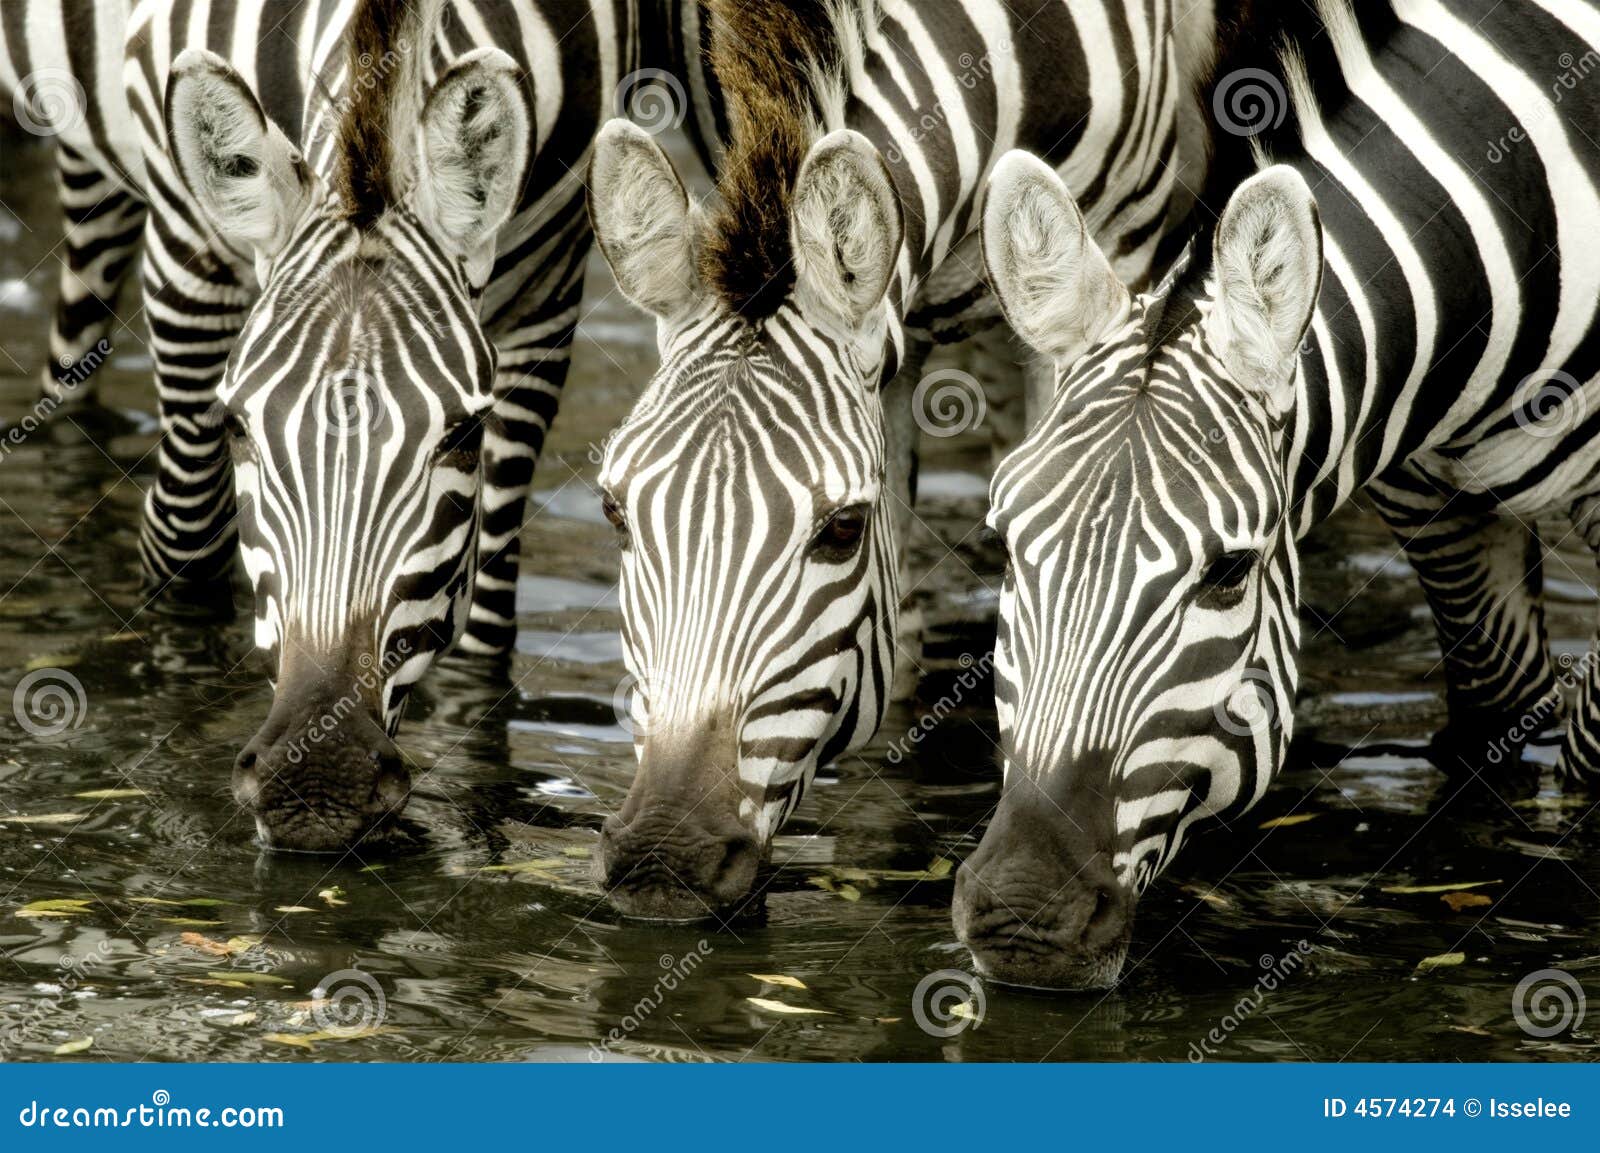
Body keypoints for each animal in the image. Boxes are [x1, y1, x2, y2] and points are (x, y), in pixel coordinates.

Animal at [584, 0, 1218, 918]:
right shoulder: (894, 323)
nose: (664, 858)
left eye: (842, 529)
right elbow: (903, 637)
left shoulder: (1108, 254)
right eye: (615, 511)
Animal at [960, 0, 1600, 989]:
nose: (1023, 916)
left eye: (1228, 571)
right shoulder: (1432, 502)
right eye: (1005, 543)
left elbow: (1587, 751)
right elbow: (1496, 719)